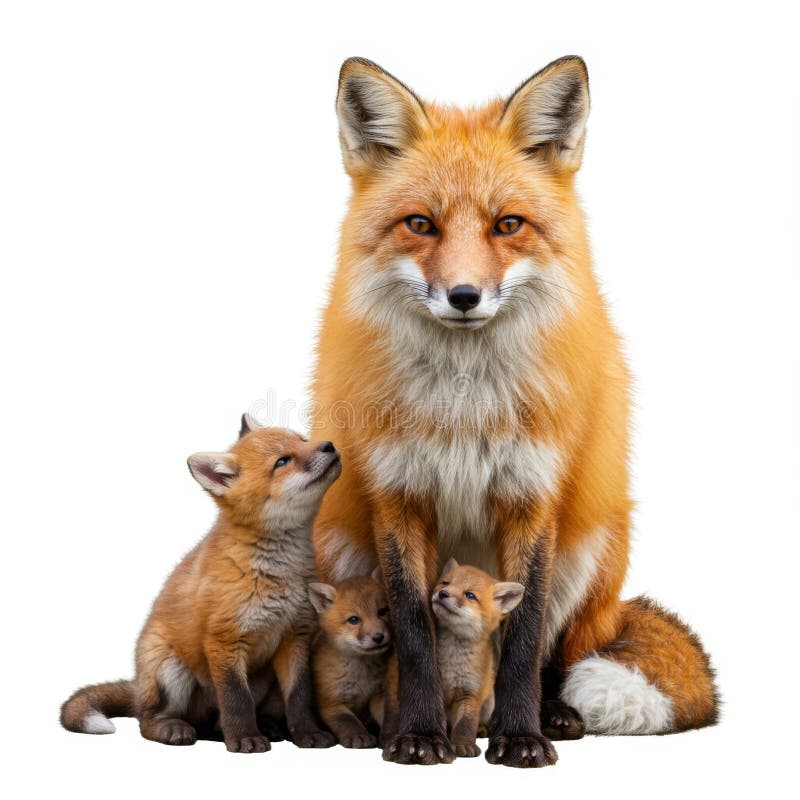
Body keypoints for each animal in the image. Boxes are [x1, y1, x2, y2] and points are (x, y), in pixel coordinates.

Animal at [61, 415, 339, 753]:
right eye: (282, 461)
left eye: (302, 440)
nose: (329, 445)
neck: (277, 572)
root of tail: (139, 686)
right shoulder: (224, 640)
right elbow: (236, 699)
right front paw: (244, 738)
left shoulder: (295, 637)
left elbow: (300, 696)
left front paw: (308, 733)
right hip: (171, 673)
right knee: (147, 720)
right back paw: (173, 728)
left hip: (262, 680)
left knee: (212, 723)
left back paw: (261, 727)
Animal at [308, 568, 391, 748]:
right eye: (354, 620)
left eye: (382, 612)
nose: (379, 637)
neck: (361, 674)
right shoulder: (331, 703)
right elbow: (347, 721)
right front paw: (358, 735)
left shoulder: (378, 694)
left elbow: (384, 714)